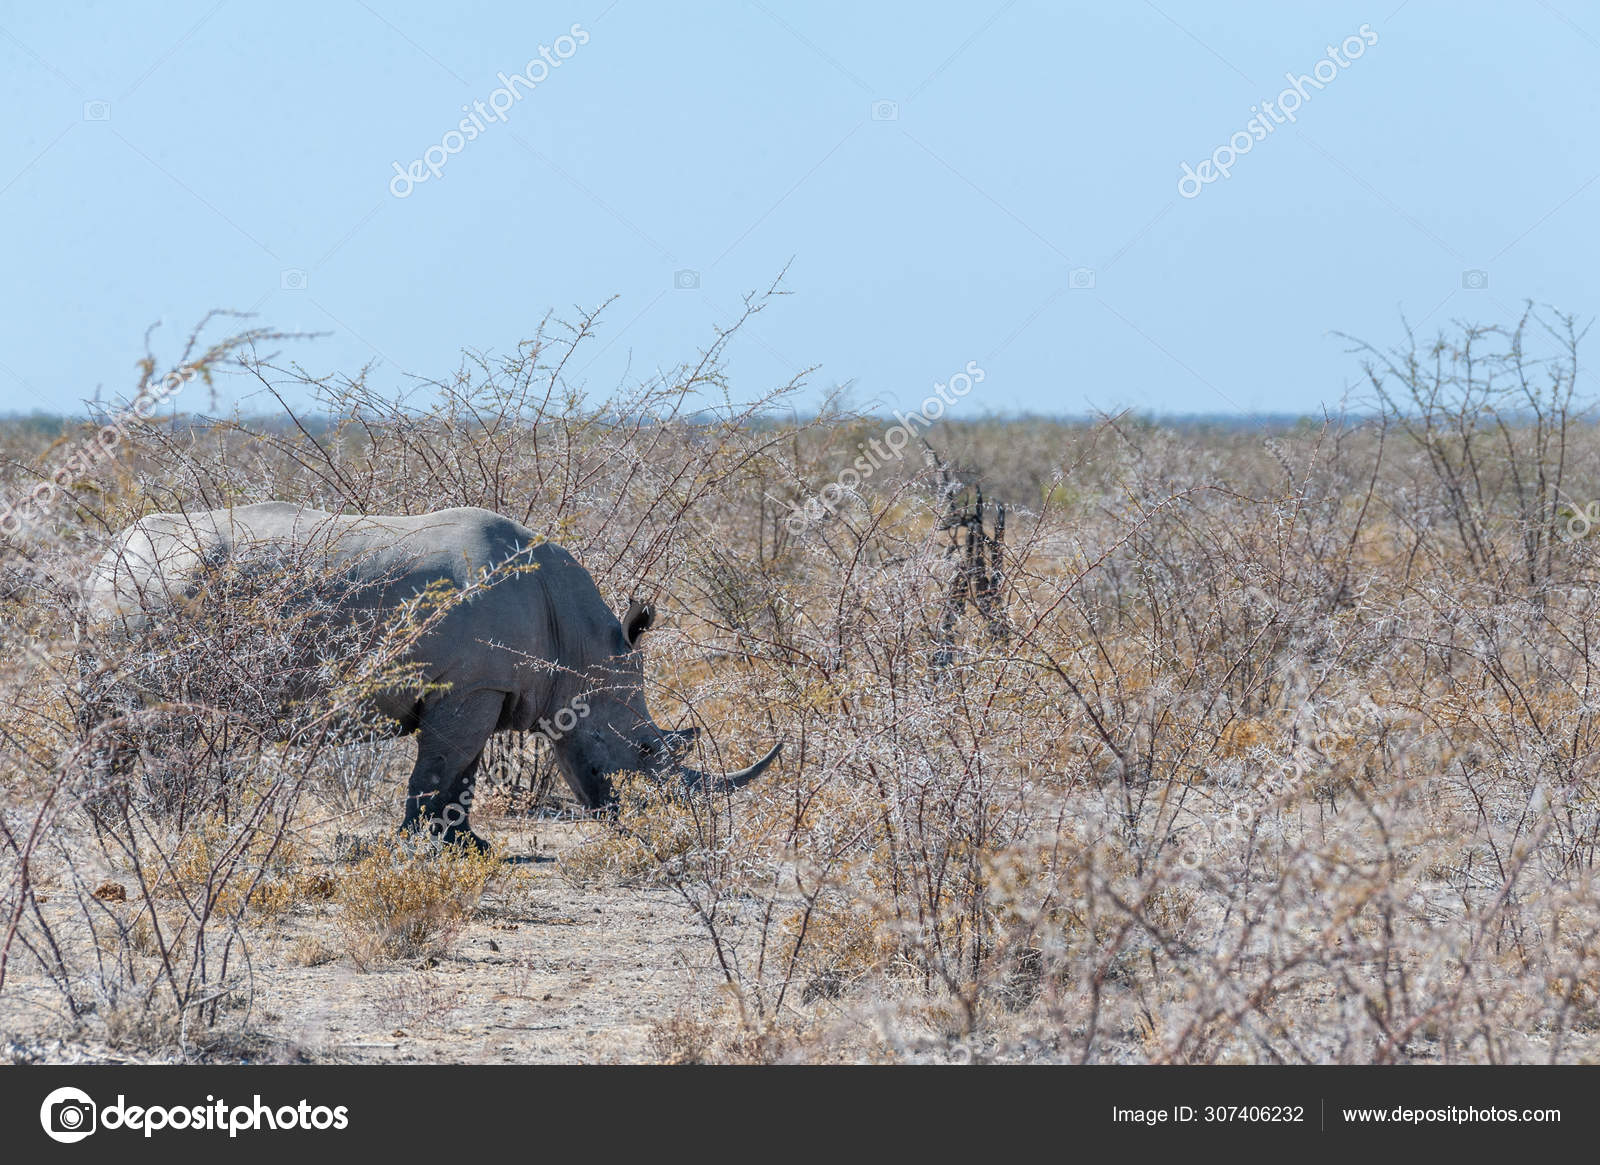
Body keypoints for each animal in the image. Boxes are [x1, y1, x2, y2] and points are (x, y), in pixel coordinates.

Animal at [82, 502, 781, 850]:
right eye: (638, 749)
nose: (638, 823)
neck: (576, 644)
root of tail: (105, 556)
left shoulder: (483, 689)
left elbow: (462, 773)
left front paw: (467, 846)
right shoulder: (467, 687)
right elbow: (440, 766)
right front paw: (419, 847)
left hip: (137, 591)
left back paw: (110, 824)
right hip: (158, 595)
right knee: (151, 719)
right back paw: (159, 826)